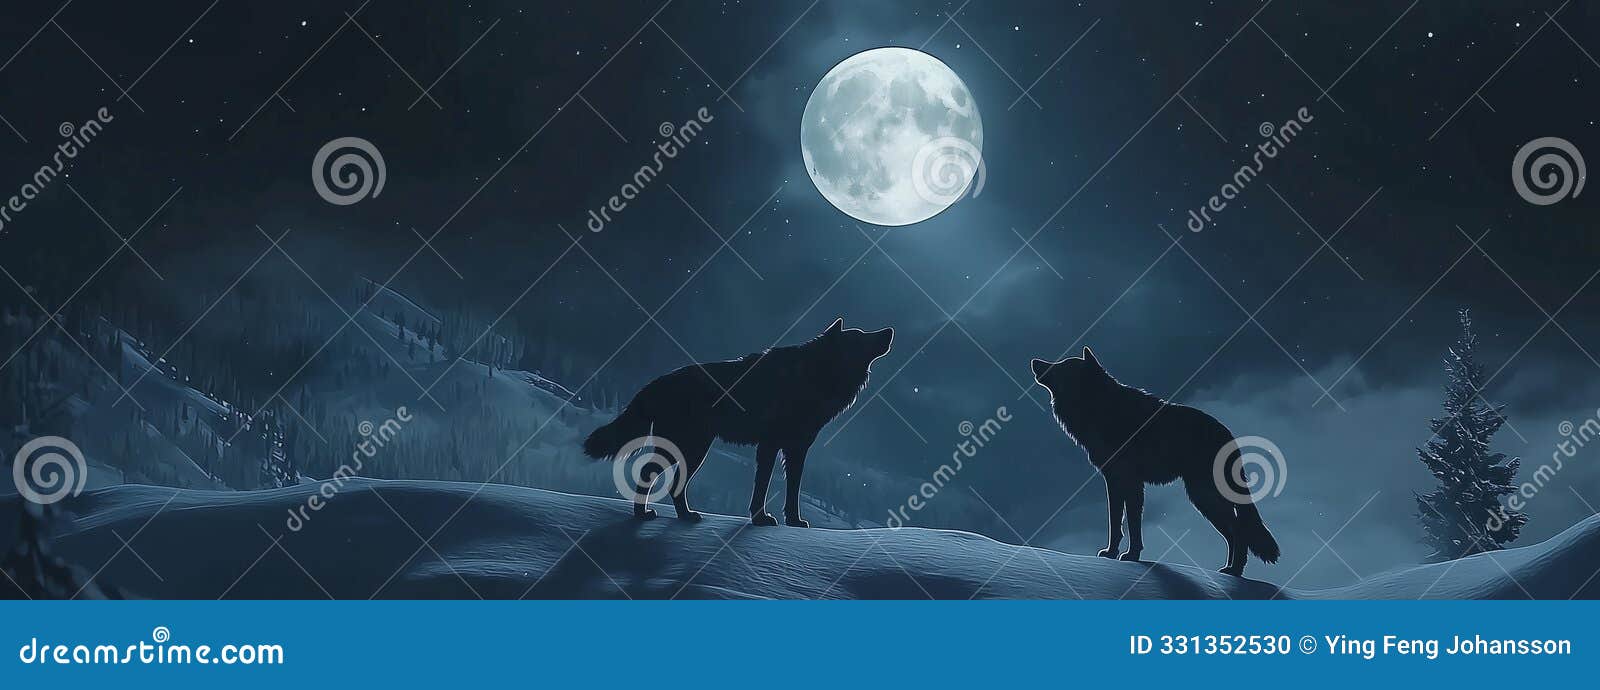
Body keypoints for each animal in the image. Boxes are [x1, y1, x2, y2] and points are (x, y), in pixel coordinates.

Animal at [583, 318, 893, 527]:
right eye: (860, 336)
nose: (890, 330)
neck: (816, 376)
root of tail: (655, 383)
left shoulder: (794, 449)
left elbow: (791, 490)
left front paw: (793, 521)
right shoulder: (771, 446)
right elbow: (763, 487)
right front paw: (761, 518)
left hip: (694, 451)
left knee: (673, 484)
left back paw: (684, 516)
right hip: (688, 448)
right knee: (650, 473)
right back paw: (644, 515)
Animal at [1031, 348, 1280, 576]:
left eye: (1062, 366)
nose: (1034, 361)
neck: (1102, 409)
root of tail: (1229, 435)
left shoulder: (1129, 482)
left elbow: (1130, 525)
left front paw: (1130, 556)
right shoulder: (1115, 481)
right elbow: (1118, 523)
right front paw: (1112, 554)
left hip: (1204, 496)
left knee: (1239, 530)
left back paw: (1233, 571)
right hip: (1204, 500)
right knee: (1234, 533)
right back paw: (1228, 571)